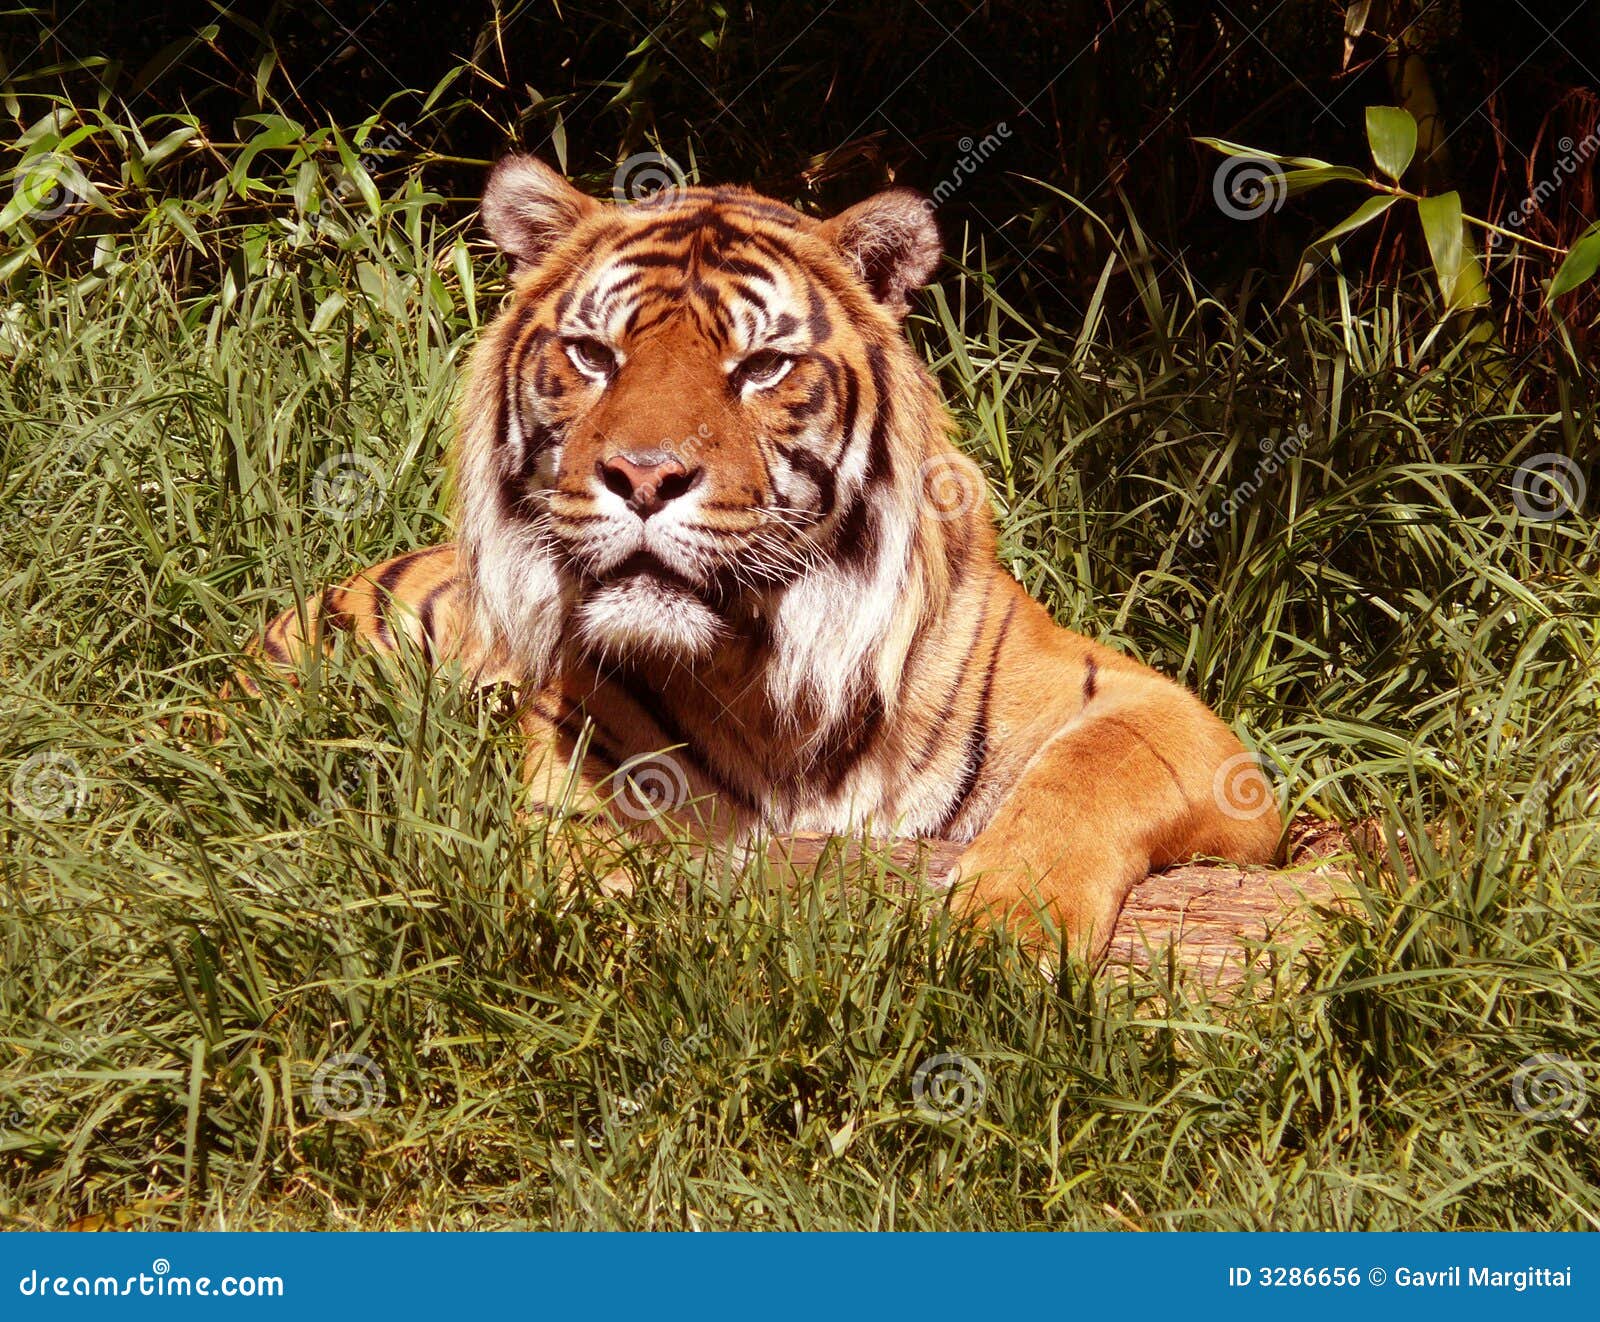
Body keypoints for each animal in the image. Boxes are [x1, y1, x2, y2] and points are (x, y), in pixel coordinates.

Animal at [245, 155, 1282, 958]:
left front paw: (1005, 930)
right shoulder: (572, 794)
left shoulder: (1176, 723)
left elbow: (1087, 773)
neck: (768, 674)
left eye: (762, 367)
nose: (644, 476)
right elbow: (586, 881)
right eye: (593, 356)